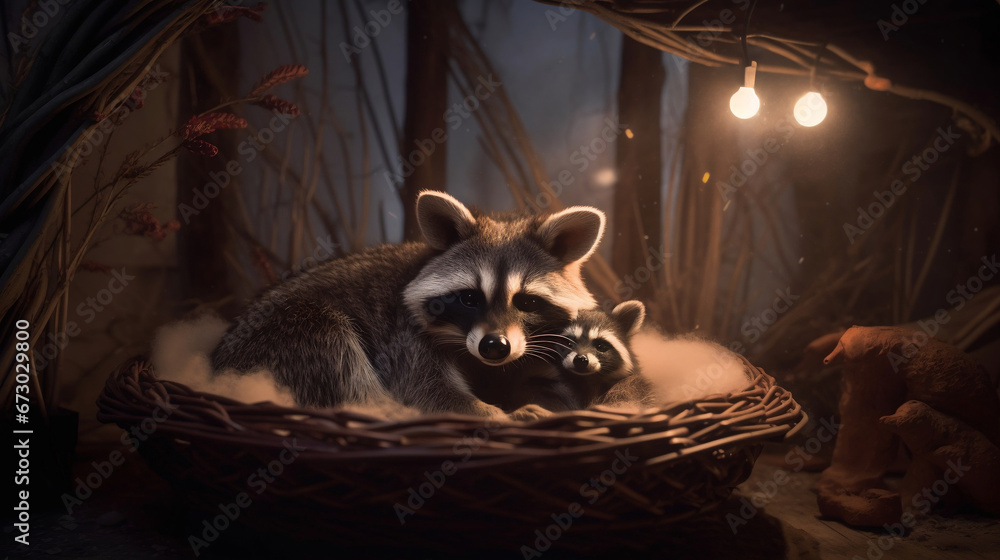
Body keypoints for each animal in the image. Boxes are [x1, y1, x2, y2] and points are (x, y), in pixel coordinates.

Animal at [210, 191, 605, 419]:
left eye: (525, 301)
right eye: (470, 298)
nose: (495, 347)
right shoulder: (403, 337)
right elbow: (431, 394)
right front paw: (497, 415)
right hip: (287, 335)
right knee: (331, 345)